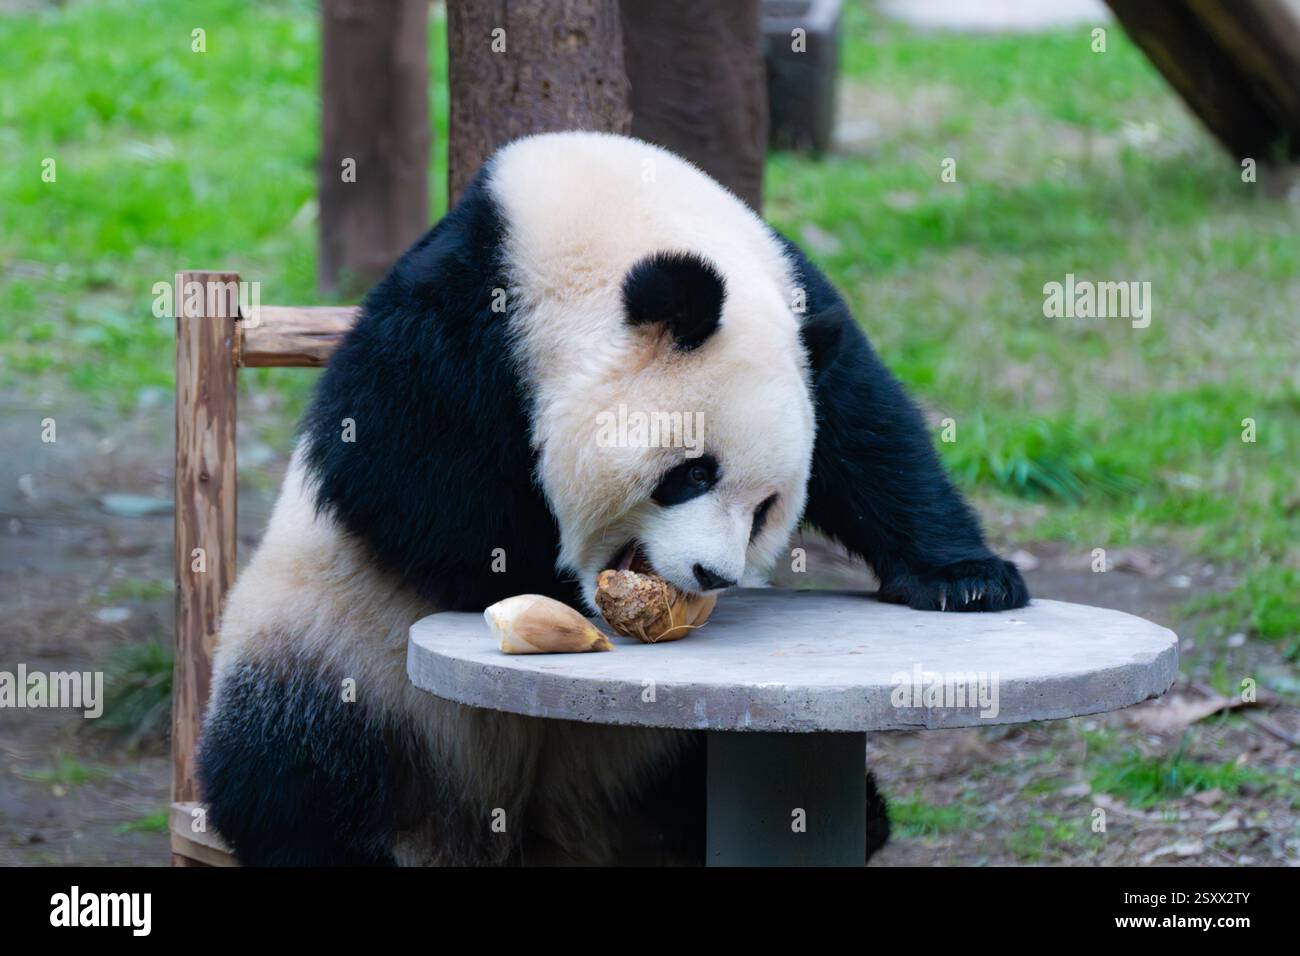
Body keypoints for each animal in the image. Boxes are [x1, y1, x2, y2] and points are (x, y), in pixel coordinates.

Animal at [197, 131, 1029, 866]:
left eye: (765, 507)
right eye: (692, 474)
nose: (715, 576)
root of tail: (523, 825)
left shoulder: (799, 309)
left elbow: (870, 433)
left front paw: (969, 579)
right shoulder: (457, 321)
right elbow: (396, 476)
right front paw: (541, 579)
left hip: (649, 747)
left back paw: (847, 816)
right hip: (335, 656)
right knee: (289, 771)